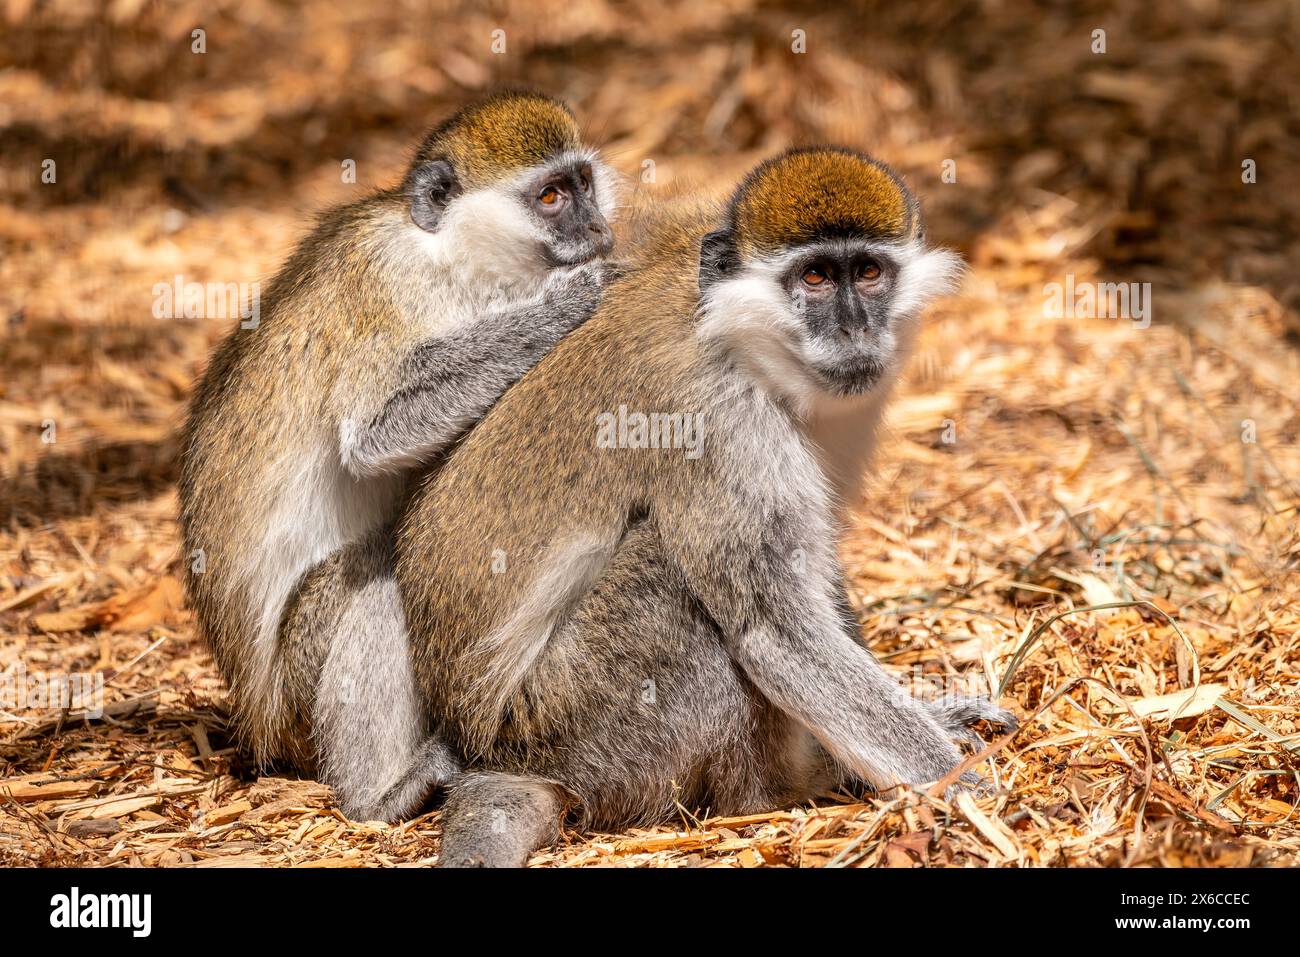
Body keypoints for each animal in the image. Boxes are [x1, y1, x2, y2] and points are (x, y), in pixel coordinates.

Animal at [178, 91, 619, 822]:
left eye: (582, 183)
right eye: (552, 197)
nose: (597, 226)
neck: (449, 258)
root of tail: (258, 724)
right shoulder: (385, 282)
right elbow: (373, 433)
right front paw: (577, 298)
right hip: (297, 693)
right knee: (378, 571)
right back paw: (379, 795)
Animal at [393, 147, 1017, 866]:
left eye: (867, 272)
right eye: (813, 277)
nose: (856, 329)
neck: (741, 341)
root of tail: (492, 754)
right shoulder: (717, 423)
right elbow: (775, 630)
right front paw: (967, 789)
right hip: (573, 724)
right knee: (674, 573)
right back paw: (796, 784)